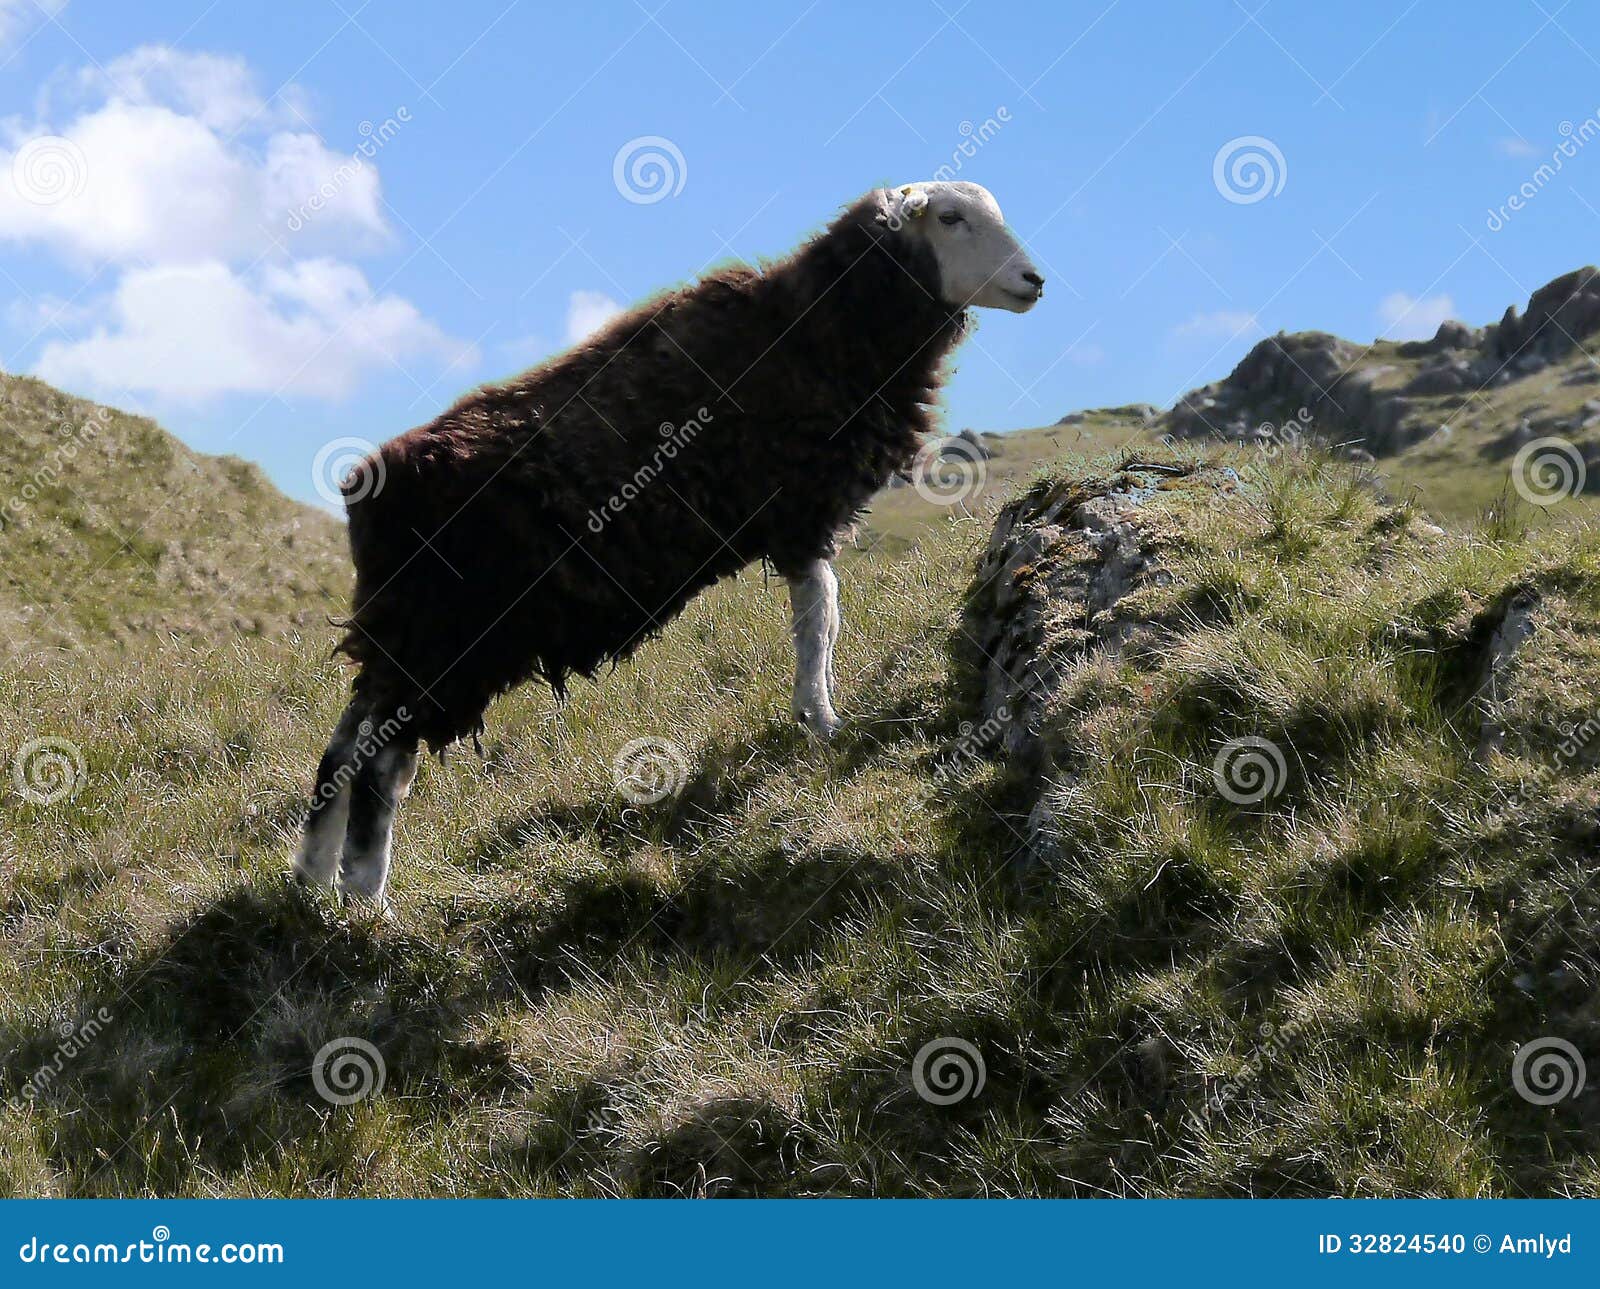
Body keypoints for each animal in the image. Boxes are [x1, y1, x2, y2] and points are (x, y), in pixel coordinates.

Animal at [294, 180, 1044, 909]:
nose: (1034, 281)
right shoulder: (800, 516)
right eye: (949, 218)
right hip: (442, 636)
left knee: (344, 747)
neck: (814, 326)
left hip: (399, 629)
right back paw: (367, 901)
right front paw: (821, 719)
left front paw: (816, 714)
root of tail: (368, 484)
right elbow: (822, 616)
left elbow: (821, 615)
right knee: (381, 761)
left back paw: (313, 881)